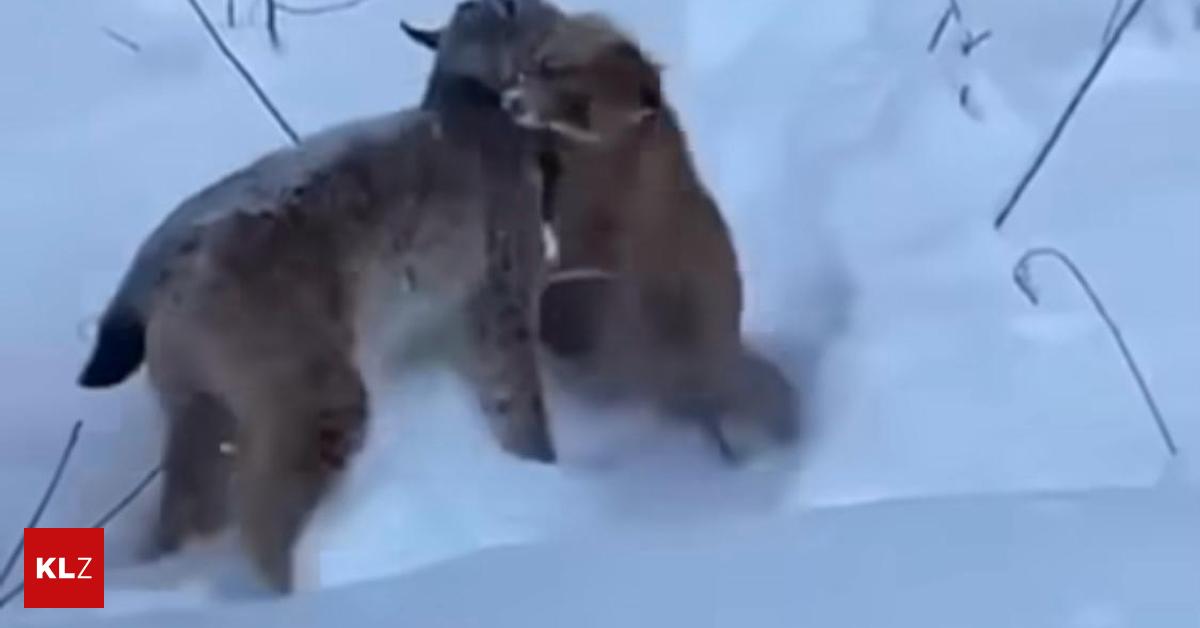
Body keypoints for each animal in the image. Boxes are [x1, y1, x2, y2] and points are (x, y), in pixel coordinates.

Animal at [82, 0, 561, 592]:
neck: (466, 90)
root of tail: (169, 252)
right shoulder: (501, 290)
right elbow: (518, 395)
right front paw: (546, 473)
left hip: (197, 397)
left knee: (188, 506)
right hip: (313, 389)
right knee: (262, 513)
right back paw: (296, 595)